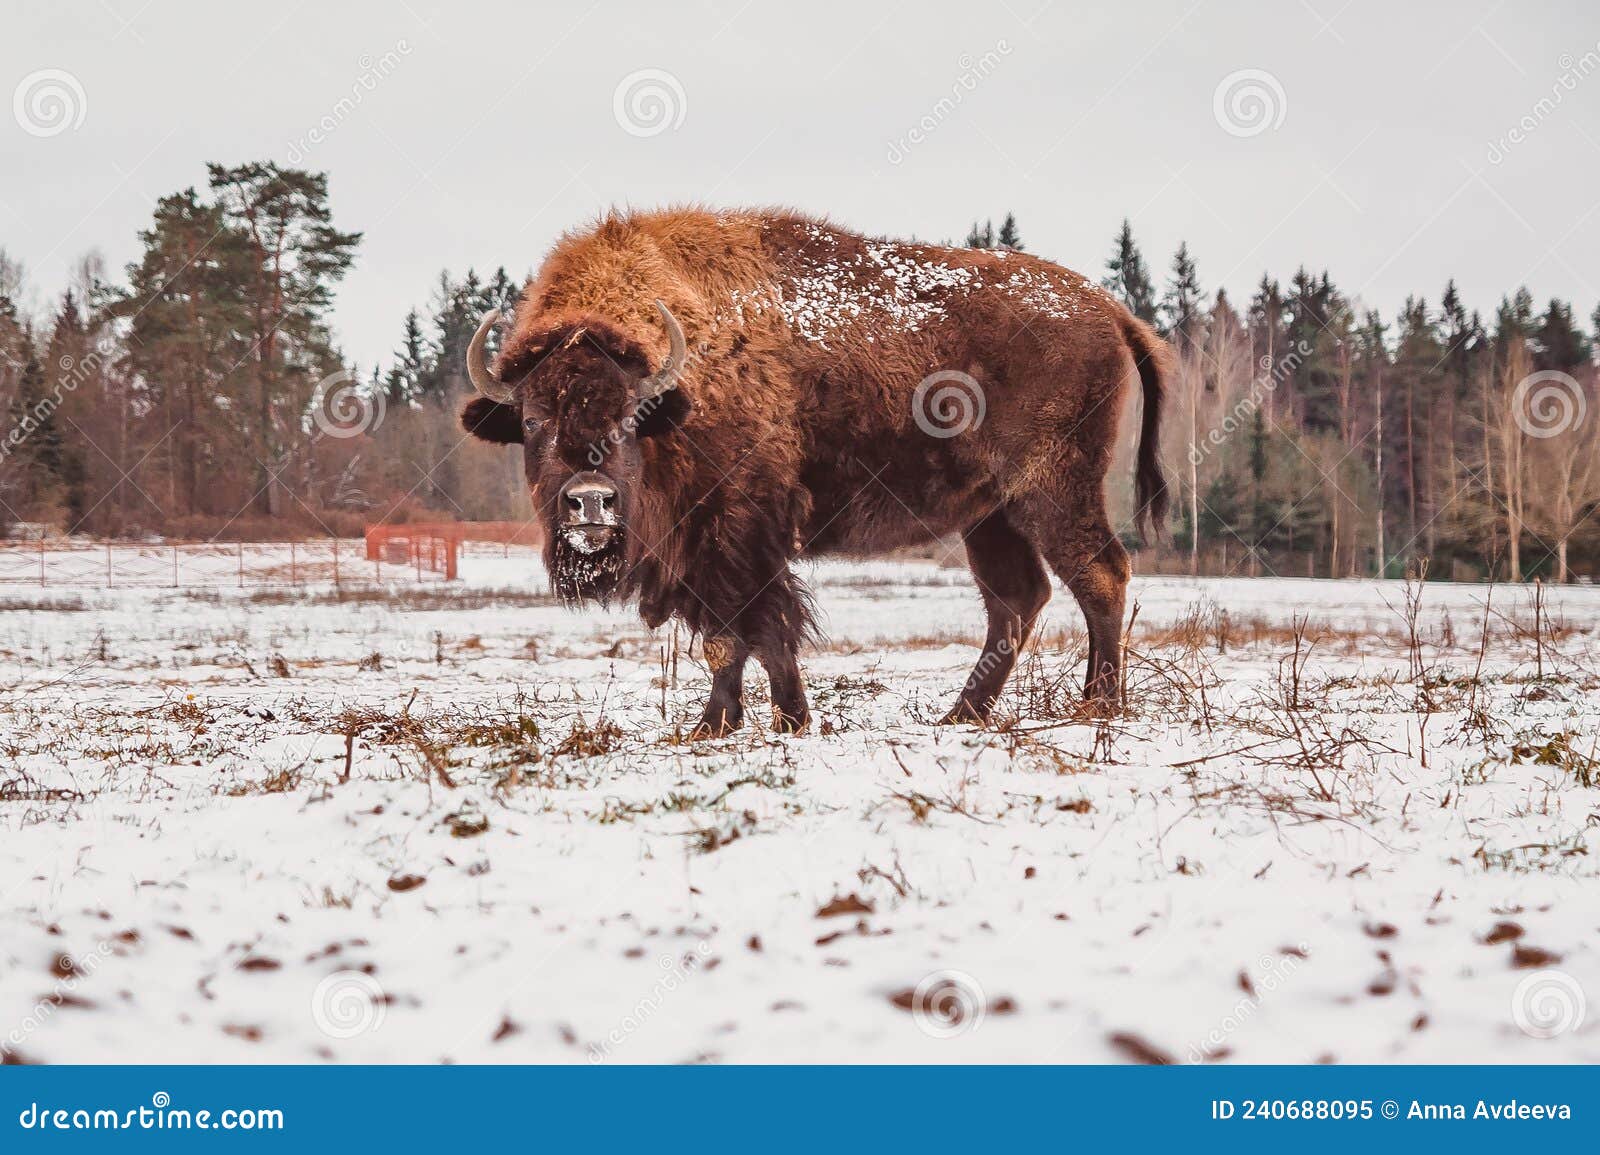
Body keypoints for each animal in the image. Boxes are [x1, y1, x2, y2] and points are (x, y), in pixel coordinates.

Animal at [462, 208, 1169, 737]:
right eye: (532, 421)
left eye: (631, 417)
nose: (590, 504)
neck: (677, 381)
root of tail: (1107, 309)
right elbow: (751, 634)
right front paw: (768, 721)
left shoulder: (737, 534)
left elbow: (744, 632)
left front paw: (738, 724)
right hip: (990, 514)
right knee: (1016, 599)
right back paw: (961, 714)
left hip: (1054, 490)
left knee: (1099, 575)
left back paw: (1096, 705)